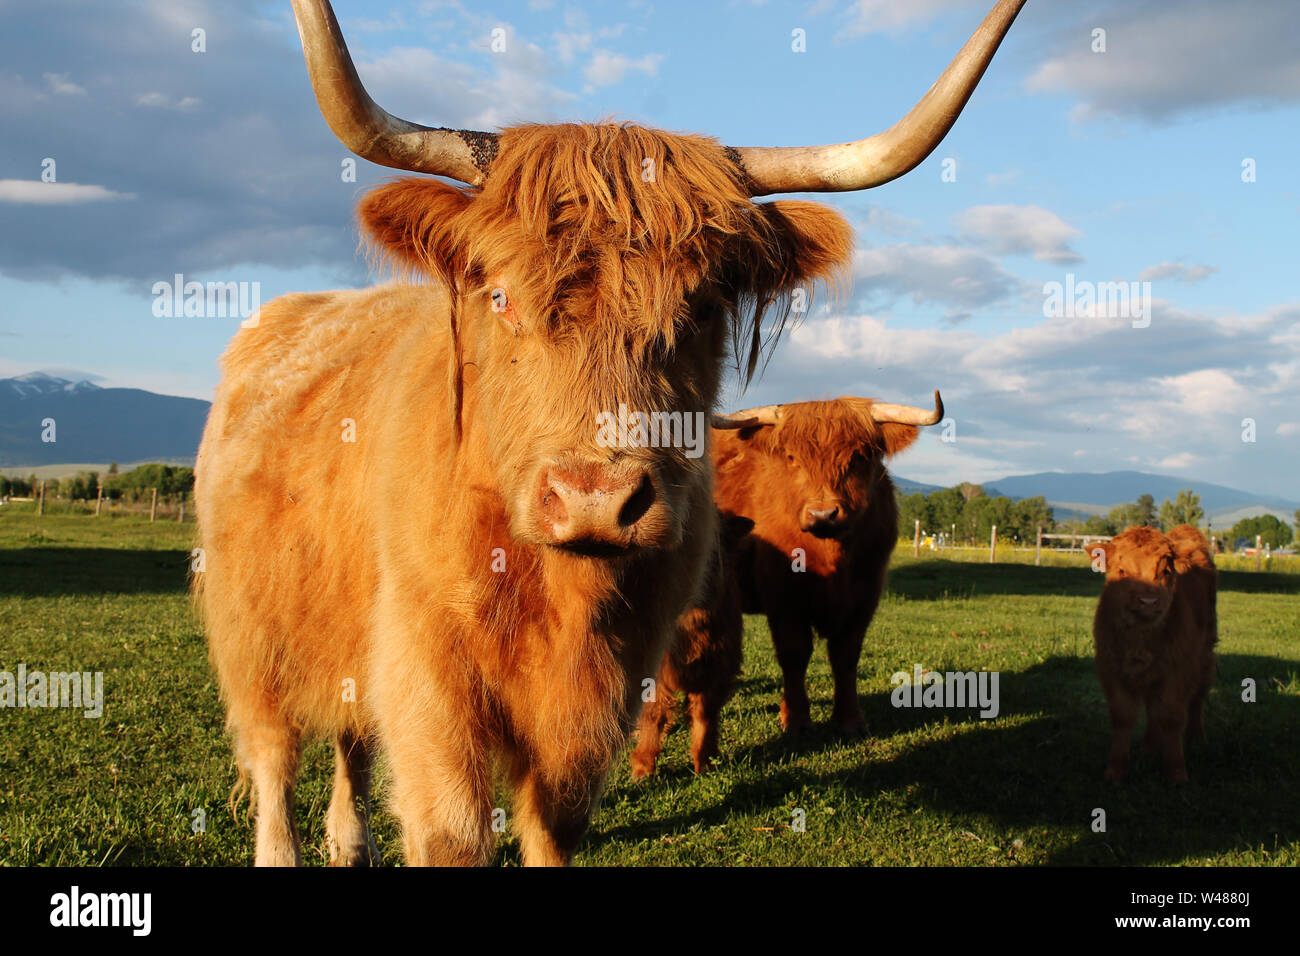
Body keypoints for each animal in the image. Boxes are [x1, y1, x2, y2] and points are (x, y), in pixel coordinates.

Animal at [630, 512, 754, 778]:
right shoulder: (658, 674)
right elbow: (654, 712)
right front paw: (643, 766)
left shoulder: (716, 670)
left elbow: (703, 716)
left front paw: (704, 762)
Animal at [710, 394, 943, 735]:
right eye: (791, 457)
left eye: (859, 456)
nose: (822, 514)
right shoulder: (783, 597)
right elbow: (794, 654)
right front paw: (796, 720)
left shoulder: (864, 598)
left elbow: (845, 656)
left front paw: (850, 720)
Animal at [1086, 525, 1218, 784]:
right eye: (1122, 570)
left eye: (1165, 570)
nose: (1148, 601)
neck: (1140, 640)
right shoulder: (1111, 669)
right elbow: (1123, 716)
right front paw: (1116, 770)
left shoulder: (1178, 670)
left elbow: (1172, 717)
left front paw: (1176, 771)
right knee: (1154, 707)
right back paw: (1150, 747)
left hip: (1205, 656)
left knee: (1197, 696)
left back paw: (1197, 738)